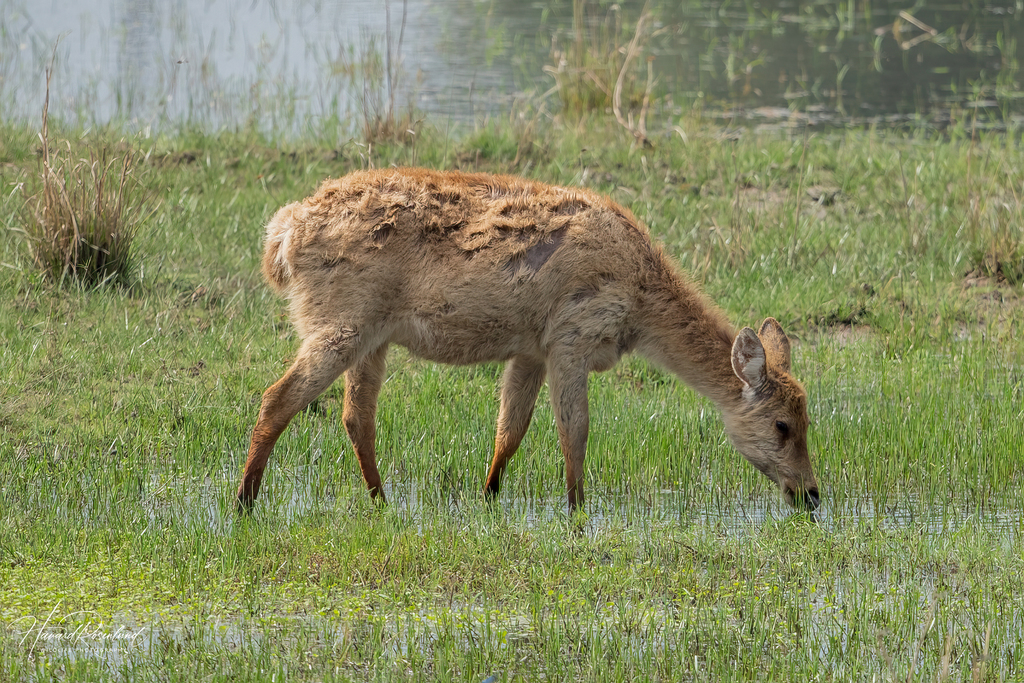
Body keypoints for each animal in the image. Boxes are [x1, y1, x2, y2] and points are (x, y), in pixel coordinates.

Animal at [236, 167, 820, 517]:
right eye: (782, 425)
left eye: (808, 419)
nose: (812, 494)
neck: (640, 302)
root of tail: (281, 236)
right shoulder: (571, 334)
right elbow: (574, 430)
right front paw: (578, 512)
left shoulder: (531, 348)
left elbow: (510, 429)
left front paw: (489, 496)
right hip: (341, 319)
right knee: (278, 396)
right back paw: (244, 502)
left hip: (371, 335)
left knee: (356, 415)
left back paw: (382, 502)